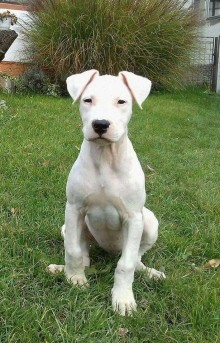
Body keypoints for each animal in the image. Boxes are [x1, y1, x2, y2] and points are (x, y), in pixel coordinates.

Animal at [48, 70, 165, 318]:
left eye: (121, 101)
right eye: (87, 100)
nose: (100, 124)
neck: (105, 157)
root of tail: (110, 250)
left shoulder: (134, 217)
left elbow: (126, 265)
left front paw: (123, 300)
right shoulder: (73, 209)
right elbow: (73, 250)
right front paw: (74, 278)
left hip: (149, 222)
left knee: (136, 258)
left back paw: (151, 273)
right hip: (68, 227)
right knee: (84, 255)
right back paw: (61, 269)